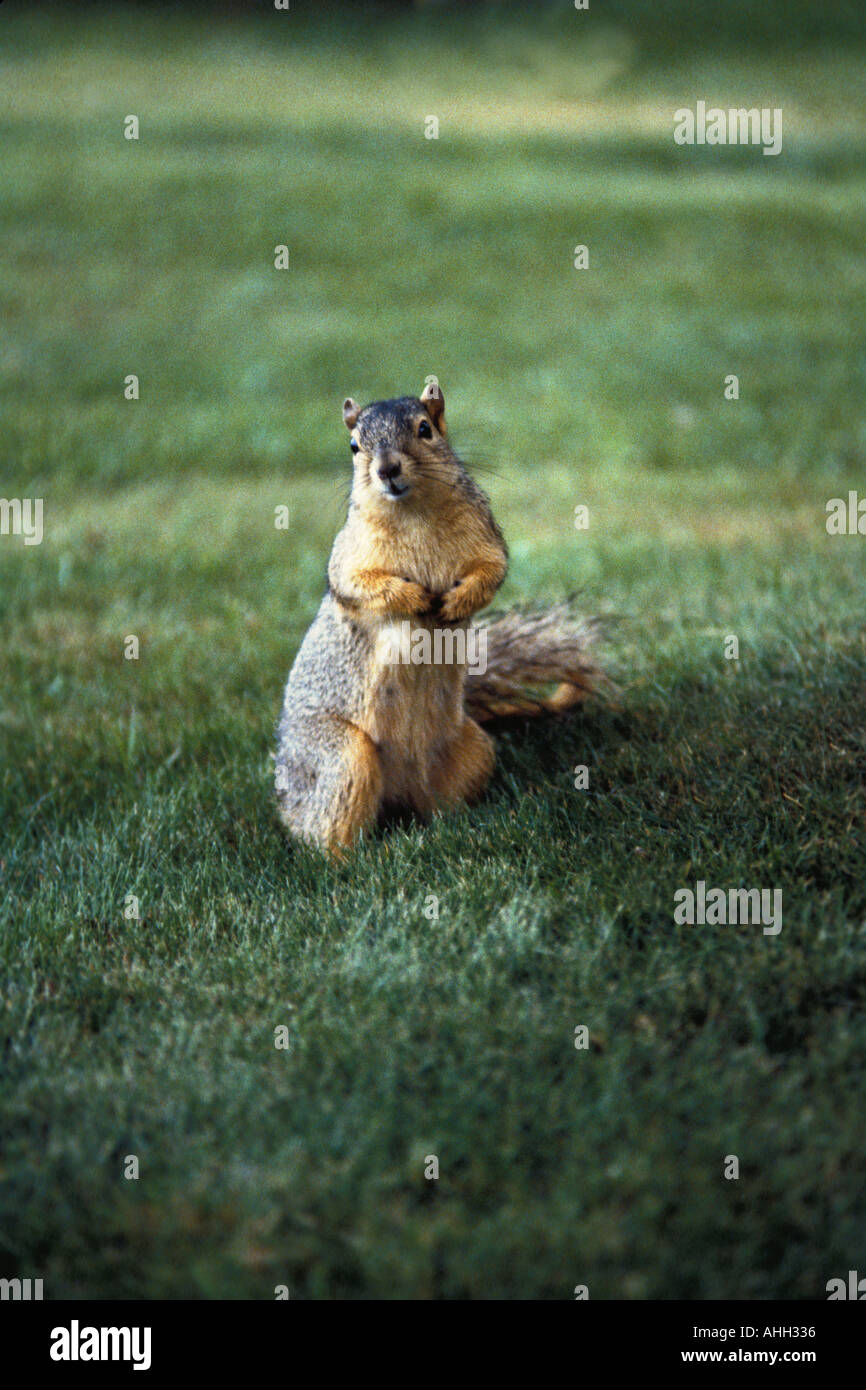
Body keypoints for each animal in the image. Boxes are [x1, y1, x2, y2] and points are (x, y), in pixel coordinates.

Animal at [275, 380, 602, 856]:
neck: (413, 511)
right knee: (326, 830)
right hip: (340, 758)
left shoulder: (487, 539)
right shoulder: (349, 559)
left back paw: (461, 827)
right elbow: (359, 585)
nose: (387, 469)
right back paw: (353, 858)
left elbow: (492, 572)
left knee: (437, 804)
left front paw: (455, 604)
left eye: (425, 429)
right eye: (354, 445)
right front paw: (413, 598)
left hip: (472, 750)